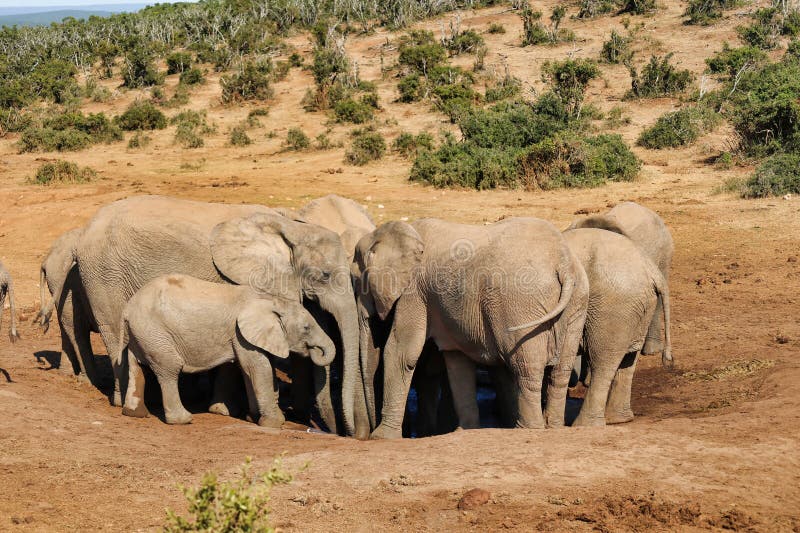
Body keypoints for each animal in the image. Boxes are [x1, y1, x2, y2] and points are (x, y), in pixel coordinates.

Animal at [119, 274, 335, 426]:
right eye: (306, 328)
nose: (315, 350)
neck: (270, 299)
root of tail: (127, 308)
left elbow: (247, 370)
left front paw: (252, 418)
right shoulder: (241, 333)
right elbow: (258, 367)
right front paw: (274, 423)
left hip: (142, 334)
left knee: (136, 366)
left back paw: (134, 413)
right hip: (155, 332)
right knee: (169, 368)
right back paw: (183, 420)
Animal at [352, 217, 589, 439]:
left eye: (359, 281)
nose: (362, 436)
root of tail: (563, 263)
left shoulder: (415, 290)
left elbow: (401, 352)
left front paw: (381, 437)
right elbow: (456, 362)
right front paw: (464, 430)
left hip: (522, 302)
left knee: (526, 367)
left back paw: (526, 429)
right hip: (577, 301)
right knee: (560, 370)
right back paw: (553, 426)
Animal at [563, 228, 673, 427]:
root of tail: (650, 268)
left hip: (615, 306)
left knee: (603, 361)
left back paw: (585, 425)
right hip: (638, 306)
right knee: (628, 359)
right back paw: (618, 419)